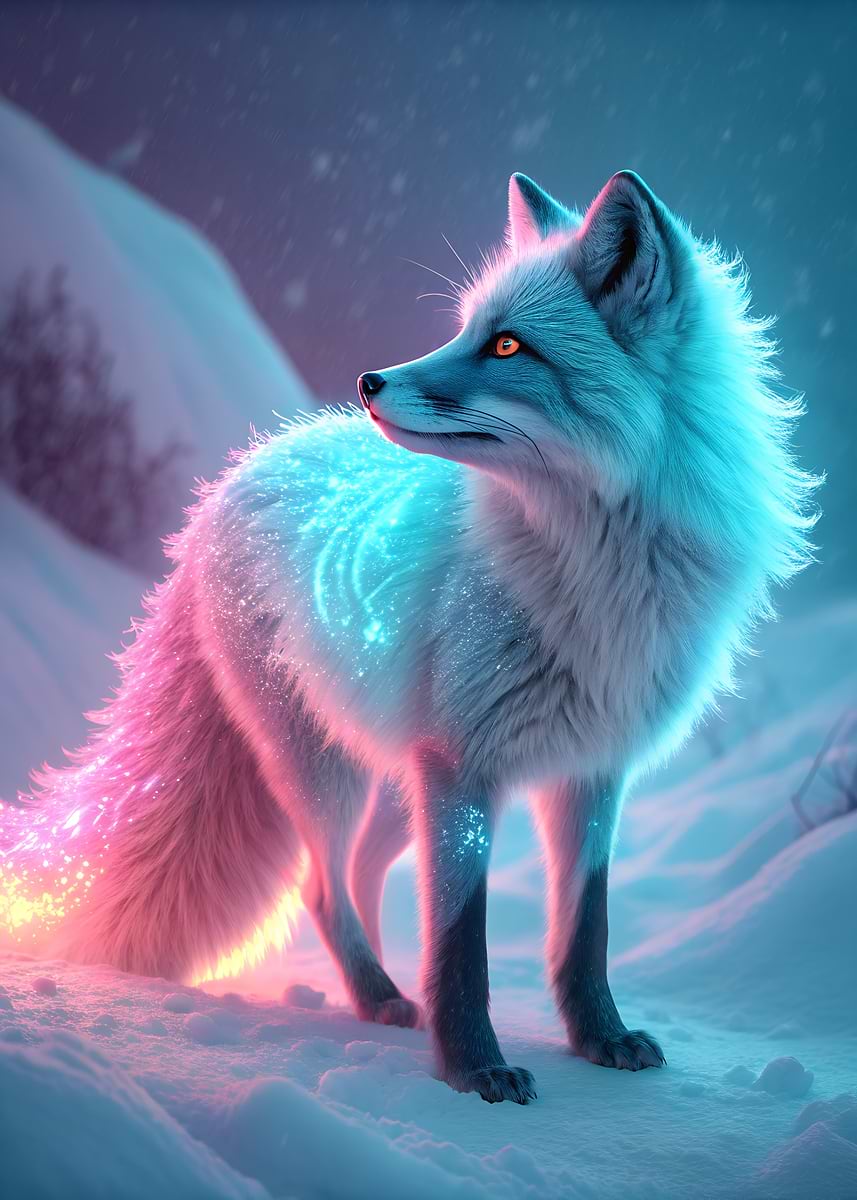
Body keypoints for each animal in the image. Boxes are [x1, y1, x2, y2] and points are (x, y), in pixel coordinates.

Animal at [0, 171, 818, 1103]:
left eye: (507, 346)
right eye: (466, 329)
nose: (369, 380)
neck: (589, 573)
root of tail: (235, 476)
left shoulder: (592, 772)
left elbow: (586, 929)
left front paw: (597, 1040)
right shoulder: (461, 764)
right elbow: (461, 939)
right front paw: (473, 1068)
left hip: (396, 780)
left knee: (359, 873)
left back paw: (389, 994)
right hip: (325, 772)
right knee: (321, 886)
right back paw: (378, 997)